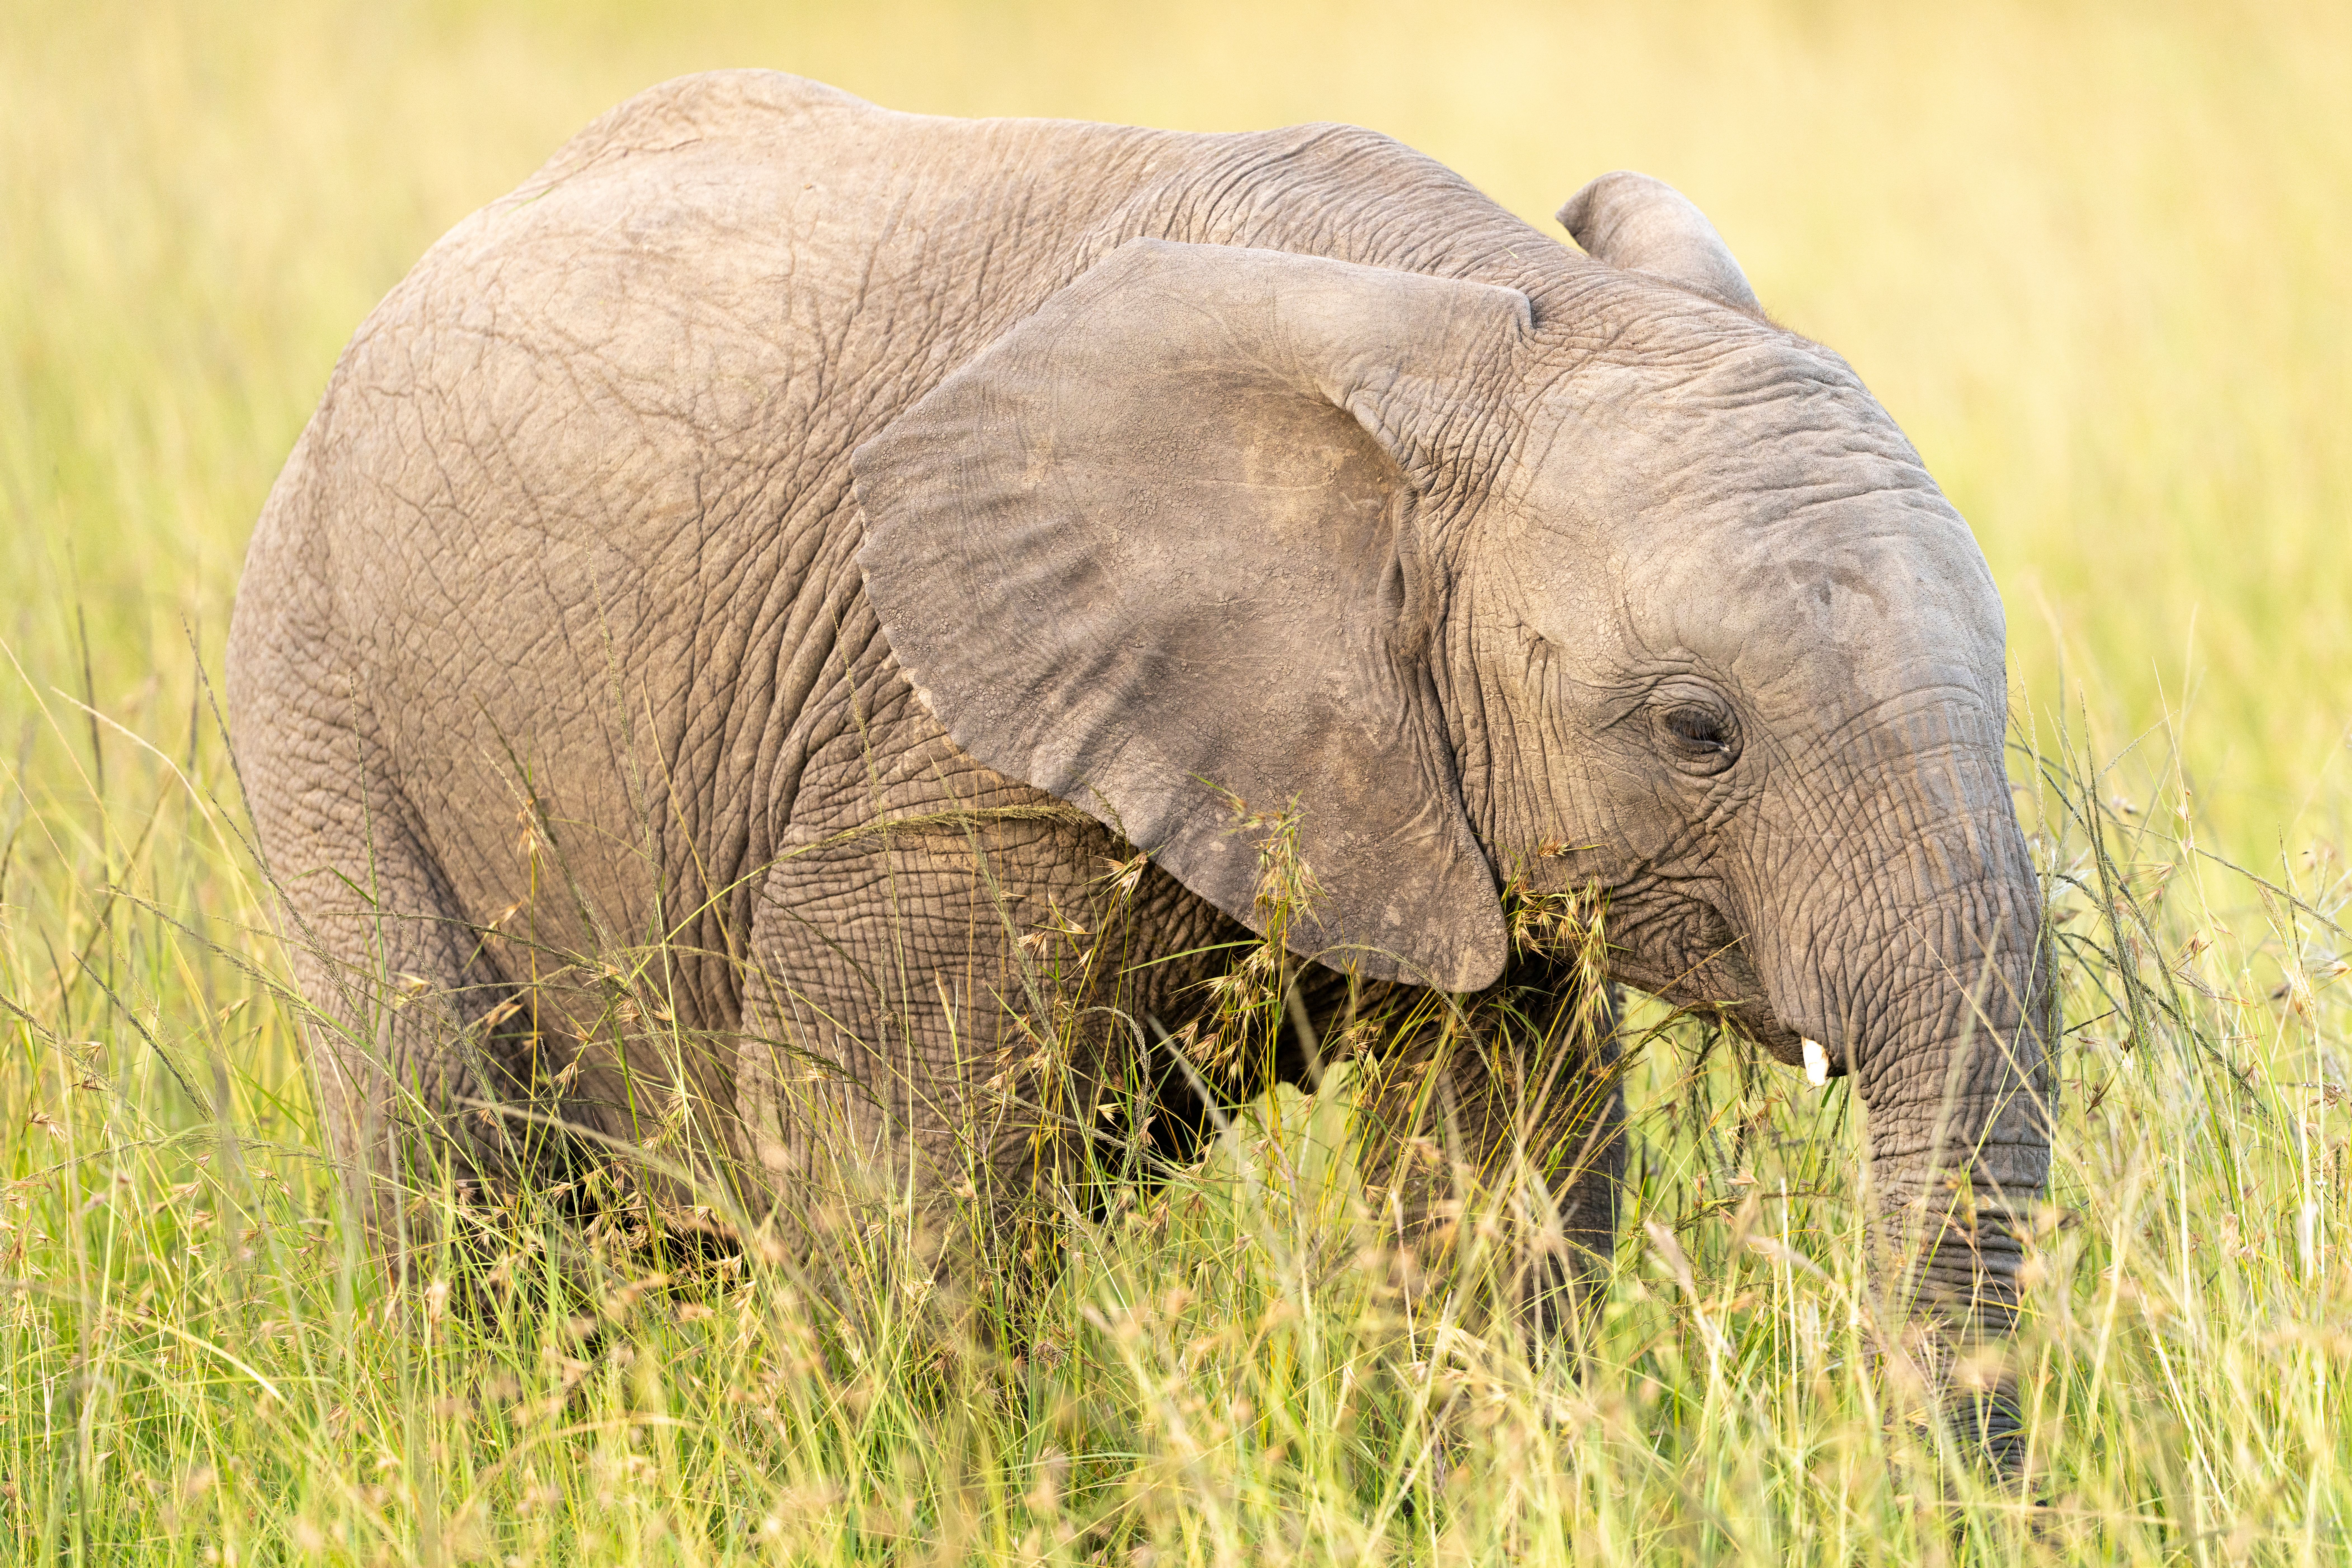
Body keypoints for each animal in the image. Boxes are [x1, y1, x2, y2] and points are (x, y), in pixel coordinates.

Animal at [226, 72, 2051, 1372]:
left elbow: (1505, 1179)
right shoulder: (937, 740)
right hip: (316, 683)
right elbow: (884, 1181)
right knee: (446, 1160)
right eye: (1694, 729)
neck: (1479, 313)